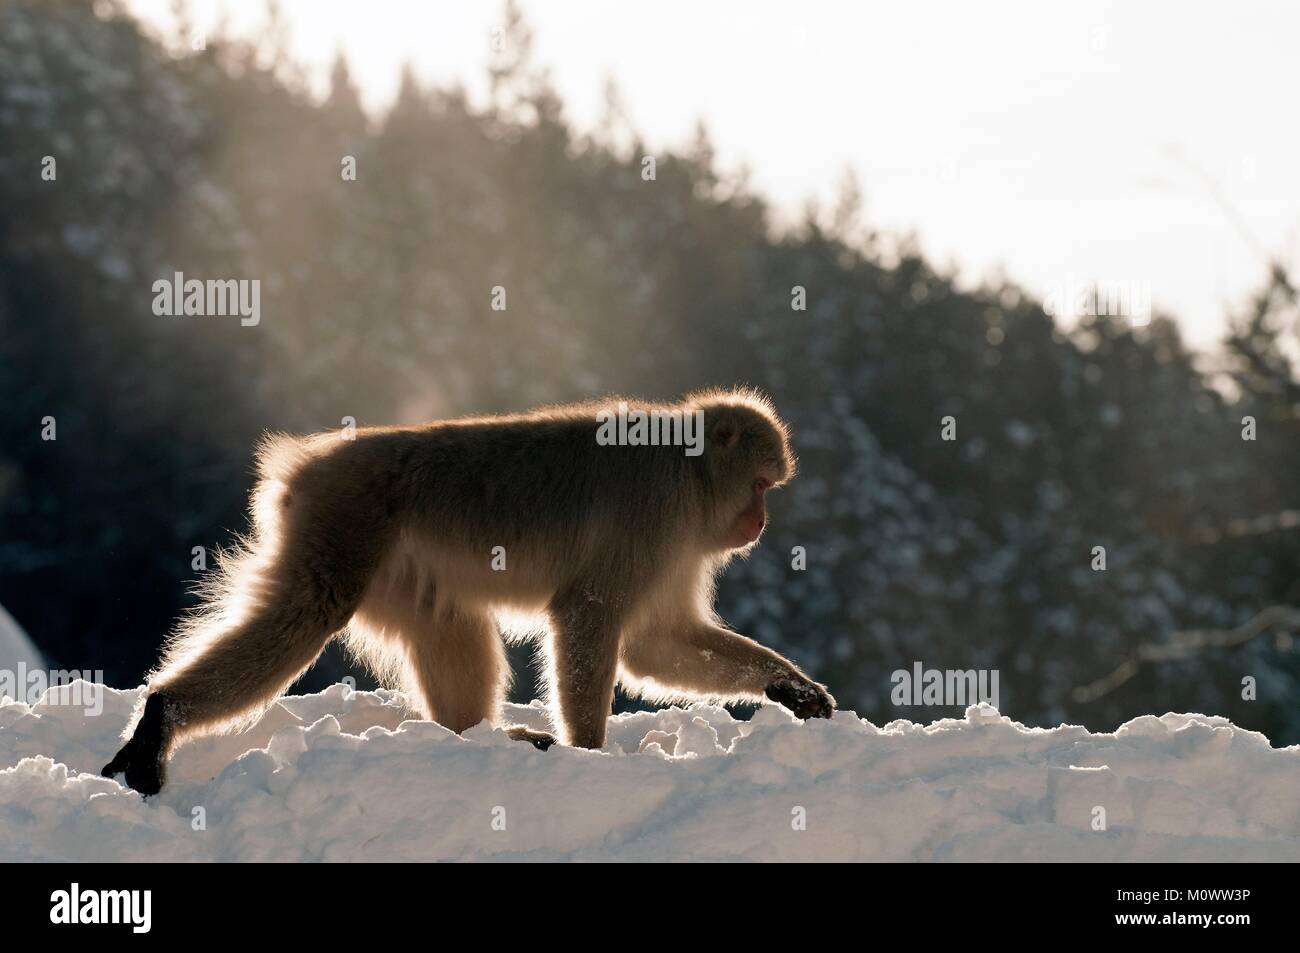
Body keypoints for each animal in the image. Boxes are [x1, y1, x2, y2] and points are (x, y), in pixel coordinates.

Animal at [102, 388, 834, 795]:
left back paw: (475, 738)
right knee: (311, 606)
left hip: (391, 561)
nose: (761, 520)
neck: (689, 472)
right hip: (343, 519)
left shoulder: (679, 546)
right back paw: (161, 716)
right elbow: (591, 617)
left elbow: (654, 645)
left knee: (447, 618)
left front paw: (791, 688)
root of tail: (306, 462)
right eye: (761, 485)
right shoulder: (654, 515)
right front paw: (590, 755)